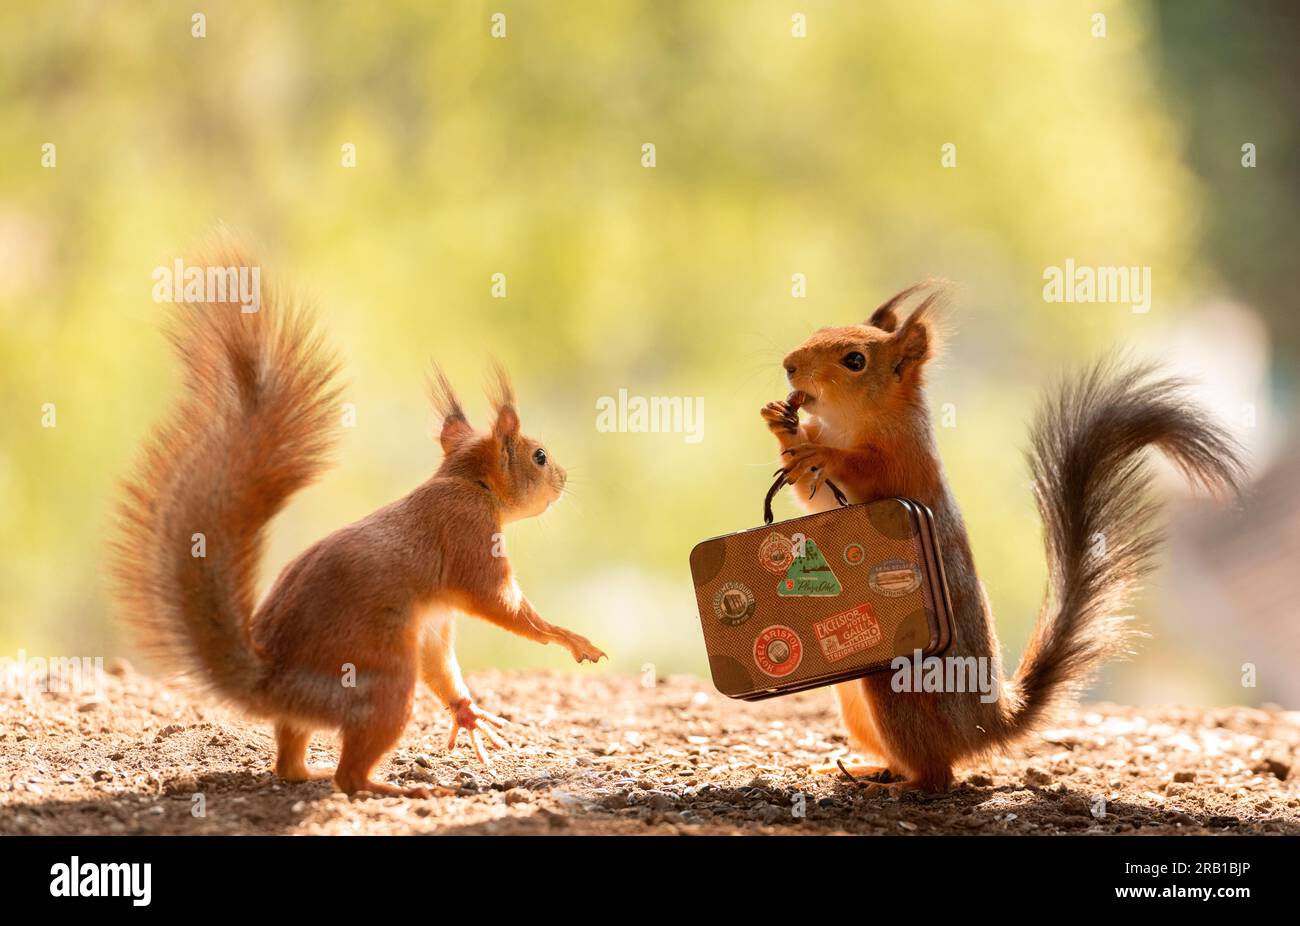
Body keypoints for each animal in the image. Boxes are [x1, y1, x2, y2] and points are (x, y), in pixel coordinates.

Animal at [111, 240, 606, 798]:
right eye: (539, 457)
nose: (563, 479)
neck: (467, 483)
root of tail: (273, 687)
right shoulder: (470, 537)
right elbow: (501, 605)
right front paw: (566, 637)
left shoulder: (433, 619)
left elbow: (442, 662)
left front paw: (468, 713)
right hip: (383, 680)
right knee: (350, 776)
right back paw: (396, 787)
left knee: (289, 760)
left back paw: (313, 770)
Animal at [762, 281, 1245, 792]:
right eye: (820, 330)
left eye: (855, 360)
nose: (789, 365)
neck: (849, 421)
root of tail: (986, 726)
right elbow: (810, 497)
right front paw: (781, 422)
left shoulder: (902, 465)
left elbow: (861, 470)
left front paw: (822, 451)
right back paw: (868, 767)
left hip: (895, 687)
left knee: (937, 775)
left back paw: (897, 784)